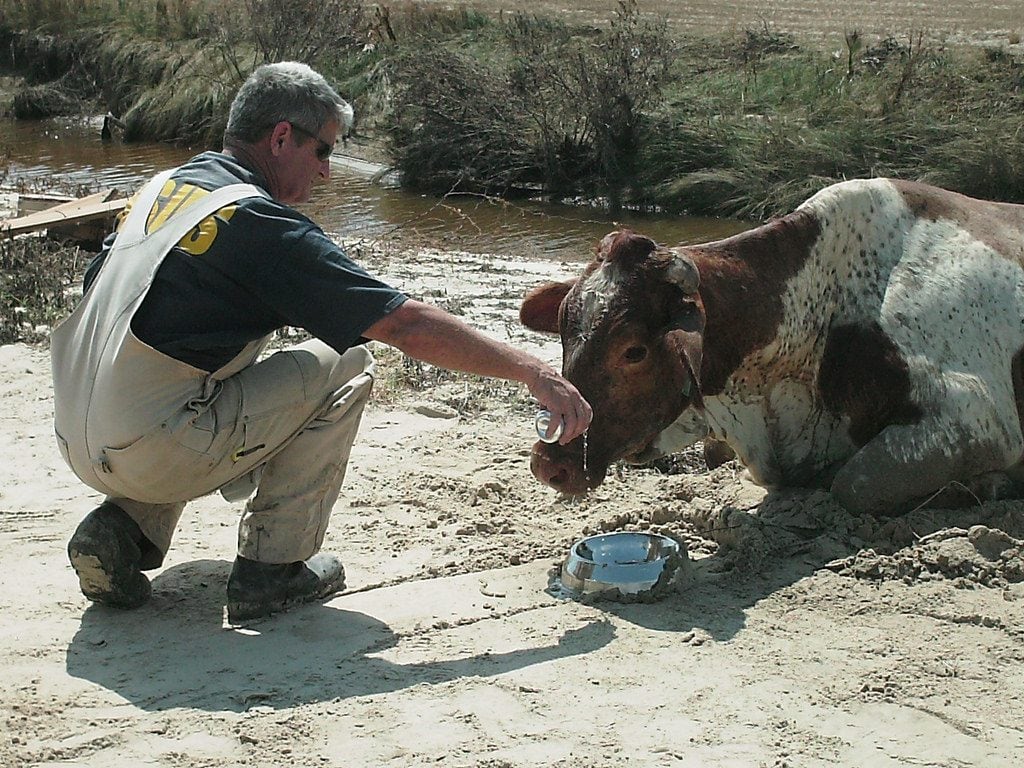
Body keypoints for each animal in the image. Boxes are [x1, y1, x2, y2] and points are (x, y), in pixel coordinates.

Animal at [519, 178, 1024, 515]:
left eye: (634, 351)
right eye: (564, 333)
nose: (550, 463)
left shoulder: (979, 419)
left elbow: (854, 485)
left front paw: (986, 486)